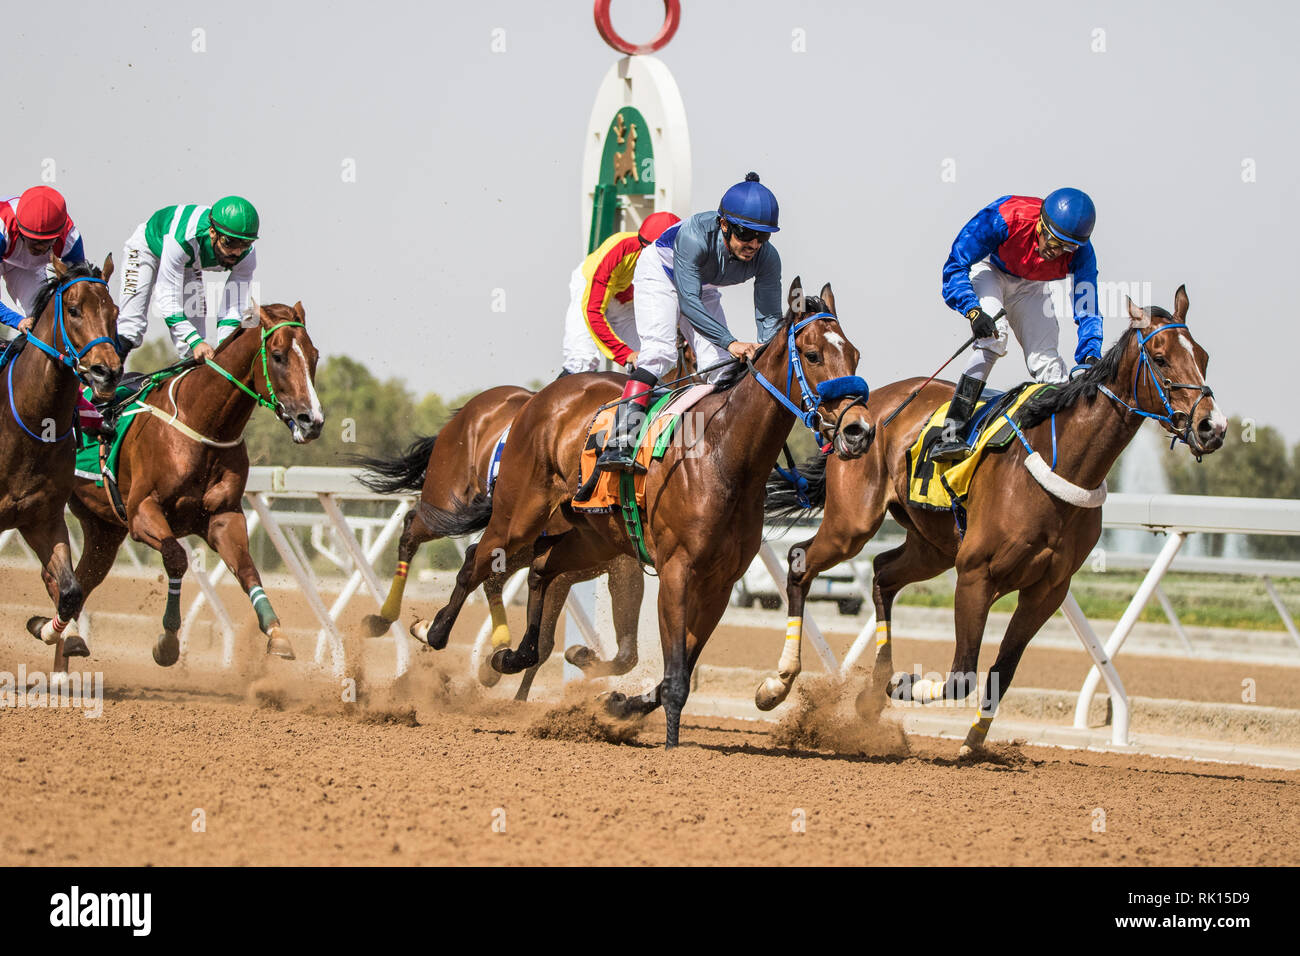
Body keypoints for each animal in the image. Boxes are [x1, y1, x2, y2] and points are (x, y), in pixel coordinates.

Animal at [0, 256, 122, 672]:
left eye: (115, 312)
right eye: (73, 310)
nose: (107, 371)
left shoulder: (43, 518)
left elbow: (69, 590)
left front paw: (48, 629)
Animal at [63, 302, 324, 667]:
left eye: (314, 355)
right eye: (278, 355)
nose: (312, 421)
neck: (203, 425)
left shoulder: (223, 516)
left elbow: (246, 568)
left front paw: (277, 634)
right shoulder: (141, 512)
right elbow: (176, 557)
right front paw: (168, 640)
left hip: (103, 527)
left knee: (86, 578)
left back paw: (61, 633)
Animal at [351, 385, 645, 701]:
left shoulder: (622, 566)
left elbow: (627, 654)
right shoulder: (565, 569)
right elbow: (543, 641)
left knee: (483, 570)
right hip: (448, 506)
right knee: (412, 532)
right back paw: (385, 619)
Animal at [413, 278, 874, 746]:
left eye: (855, 355)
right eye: (813, 355)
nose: (860, 431)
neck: (724, 455)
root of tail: (537, 400)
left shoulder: (719, 581)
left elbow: (679, 665)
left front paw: (620, 703)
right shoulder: (675, 569)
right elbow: (675, 672)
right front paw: (669, 741)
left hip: (589, 540)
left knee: (541, 571)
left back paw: (510, 656)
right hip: (519, 516)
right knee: (475, 560)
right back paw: (431, 631)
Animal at [761, 287, 1226, 755]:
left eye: (1204, 356)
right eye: (1161, 358)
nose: (1212, 426)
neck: (1062, 462)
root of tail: (859, 411)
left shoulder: (1047, 590)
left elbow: (1003, 671)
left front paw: (972, 740)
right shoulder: (975, 574)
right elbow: (963, 674)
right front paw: (905, 684)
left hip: (932, 546)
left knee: (882, 573)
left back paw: (871, 694)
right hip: (852, 525)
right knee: (801, 561)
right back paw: (778, 683)